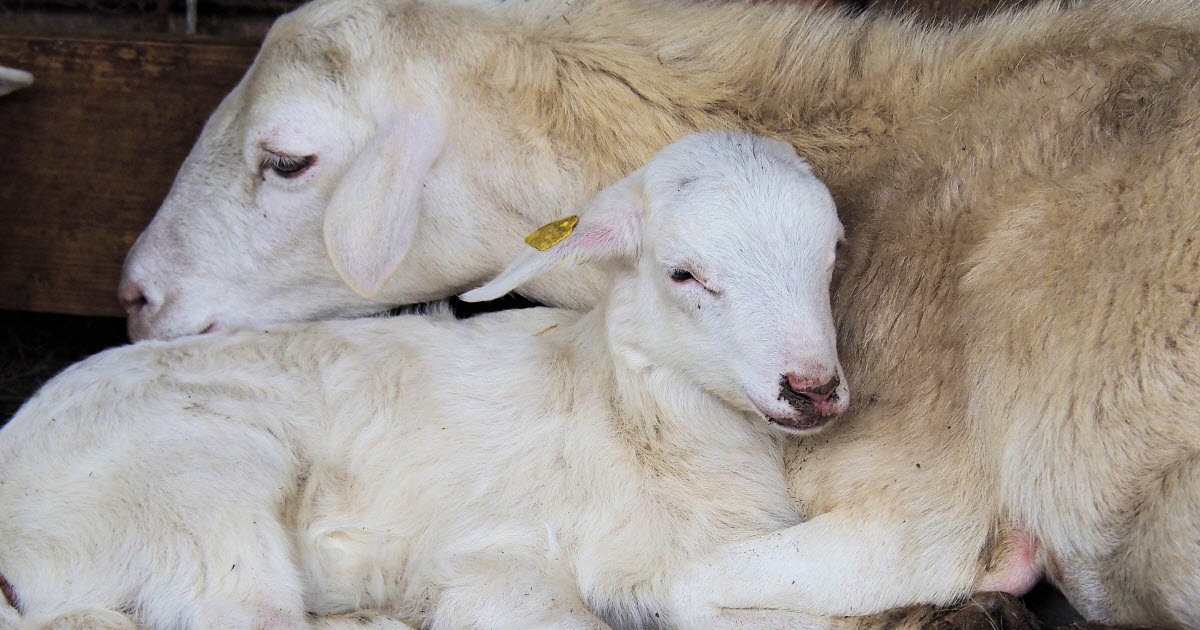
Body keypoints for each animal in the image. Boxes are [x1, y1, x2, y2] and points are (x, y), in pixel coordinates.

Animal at [0, 131, 858, 630]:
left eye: (832, 254)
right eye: (684, 273)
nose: (813, 387)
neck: (626, 413)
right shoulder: (495, 558)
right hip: (200, 476)